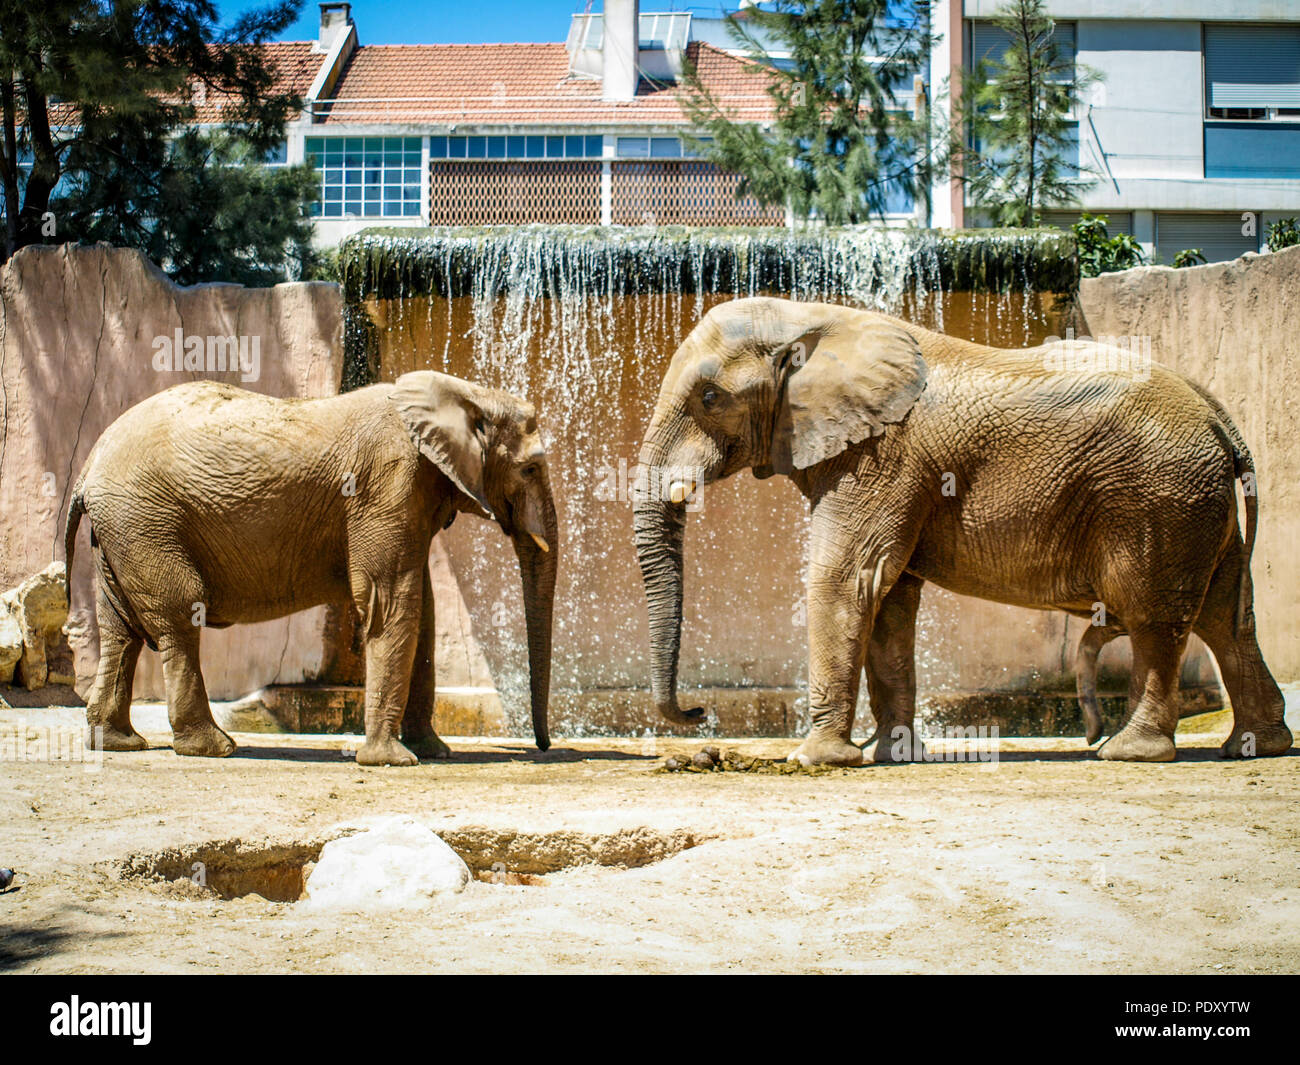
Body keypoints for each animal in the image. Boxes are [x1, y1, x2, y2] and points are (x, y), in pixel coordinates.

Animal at [65, 371, 557, 766]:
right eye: (532, 468)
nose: (542, 747)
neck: (465, 393)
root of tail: (87, 467)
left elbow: (424, 614)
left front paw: (434, 752)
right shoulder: (387, 483)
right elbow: (390, 602)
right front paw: (392, 761)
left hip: (120, 531)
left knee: (120, 626)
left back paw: (118, 742)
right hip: (145, 522)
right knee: (178, 616)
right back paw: (213, 748)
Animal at [633, 296, 1291, 765]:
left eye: (709, 397)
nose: (698, 715)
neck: (813, 318)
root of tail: (1219, 415)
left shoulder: (883, 460)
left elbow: (847, 580)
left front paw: (817, 760)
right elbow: (889, 599)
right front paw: (893, 756)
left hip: (1158, 499)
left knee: (1158, 616)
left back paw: (1130, 753)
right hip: (1197, 502)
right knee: (1227, 616)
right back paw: (1254, 747)